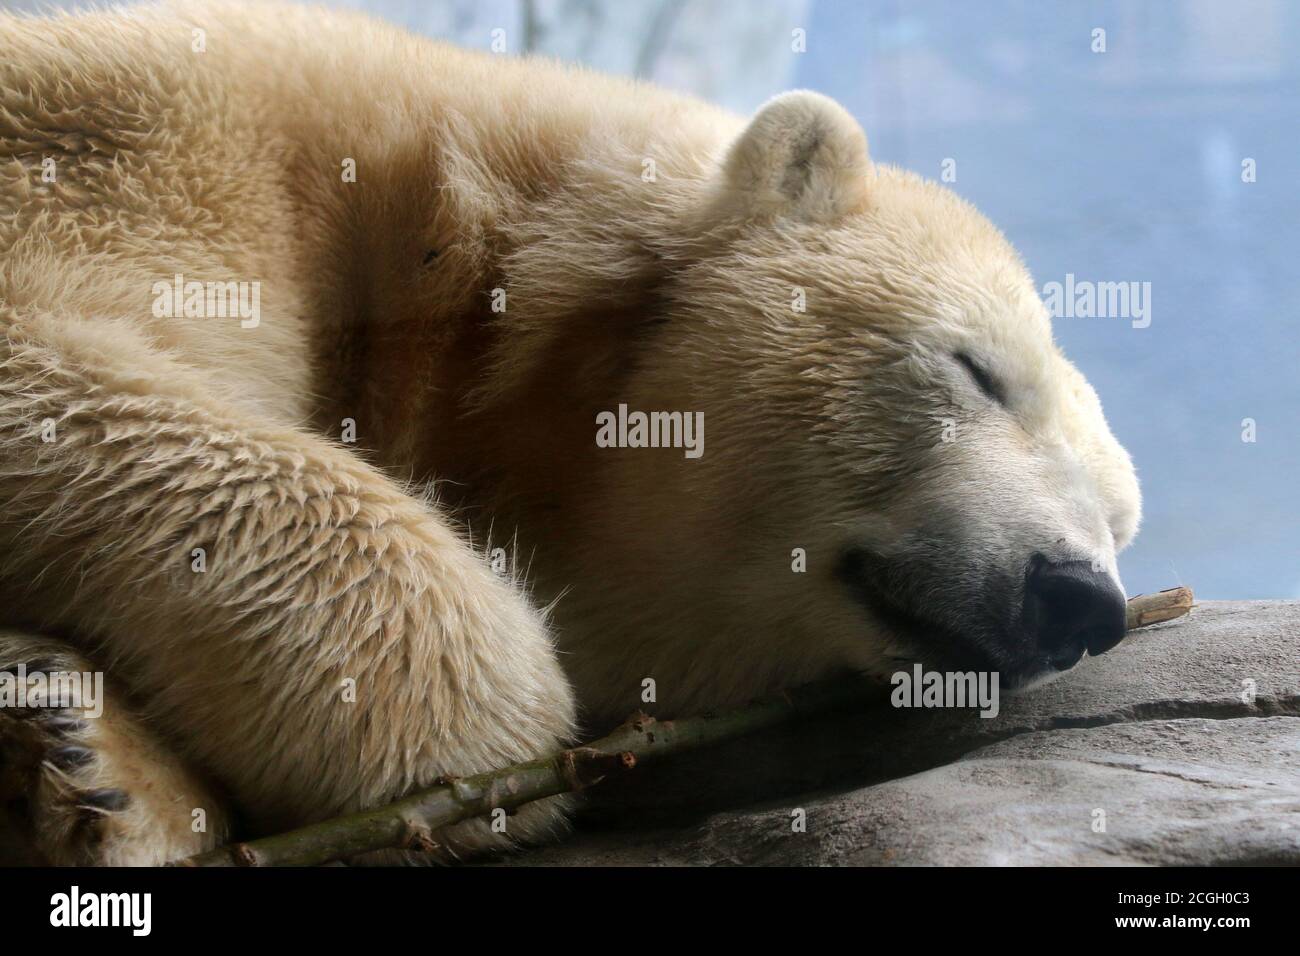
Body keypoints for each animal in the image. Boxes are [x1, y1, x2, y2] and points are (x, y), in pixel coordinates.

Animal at [0, 0, 1140, 865]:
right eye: (976, 370)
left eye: (1120, 517)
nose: (1079, 597)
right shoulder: (153, 140)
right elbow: (59, 354)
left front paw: (95, 769)